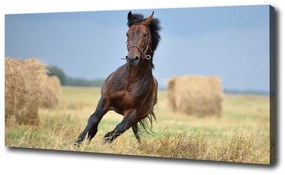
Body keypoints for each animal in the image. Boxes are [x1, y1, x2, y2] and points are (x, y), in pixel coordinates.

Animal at [75, 10, 160, 145]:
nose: (132, 58)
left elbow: (120, 128)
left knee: (124, 128)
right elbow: (93, 119)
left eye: (145, 34)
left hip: (138, 117)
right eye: (127, 34)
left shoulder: (133, 111)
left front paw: (105, 139)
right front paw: (78, 141)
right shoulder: (105, 99)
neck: (130, 80)